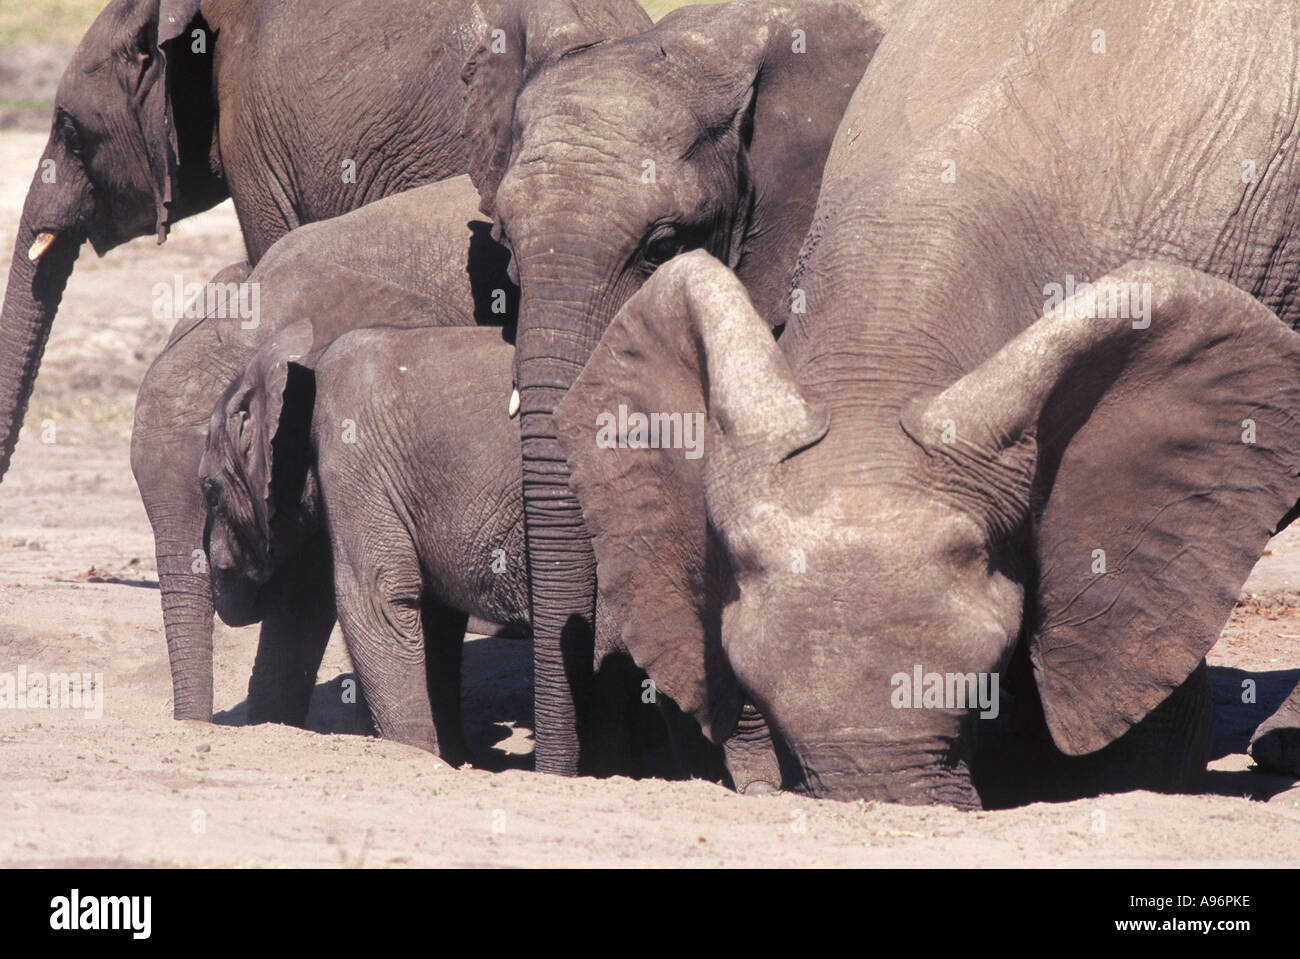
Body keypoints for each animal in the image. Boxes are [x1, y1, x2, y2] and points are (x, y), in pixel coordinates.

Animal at [198, 323, 721, 778]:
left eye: (208, 490)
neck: (306, 362)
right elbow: (432, 617)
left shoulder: (353, 458)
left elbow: (376, 602)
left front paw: (417, 756)